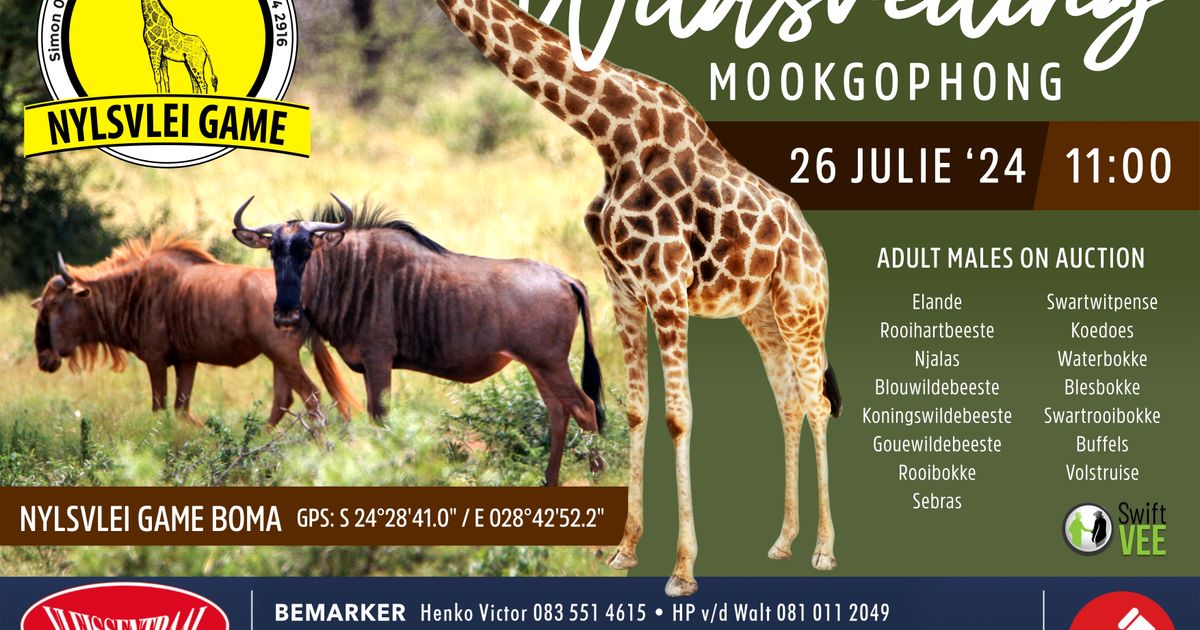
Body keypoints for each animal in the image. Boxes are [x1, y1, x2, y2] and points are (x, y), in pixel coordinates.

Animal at [33, 226, 360, 427]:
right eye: (42, 305)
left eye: (53, 306)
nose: (43, 359)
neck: (134, 290)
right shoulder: (186, 361)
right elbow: (182, 410)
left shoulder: (155, 359)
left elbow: (160, 409)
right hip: (279, 357)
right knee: (283, 400)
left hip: (282, 354)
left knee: (311, 396)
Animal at [232, 195, 604, 486]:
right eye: (272, 250)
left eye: (307, 248)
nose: (286, 313)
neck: (350, 274)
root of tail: (565, 278)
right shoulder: (367, 366)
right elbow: (376, 417)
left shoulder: (378, 358)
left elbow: (381, 417)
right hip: (539, 367)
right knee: (559, 411)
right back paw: (550, 480)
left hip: (549, 363)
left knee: (584, 408)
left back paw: (598, 477)